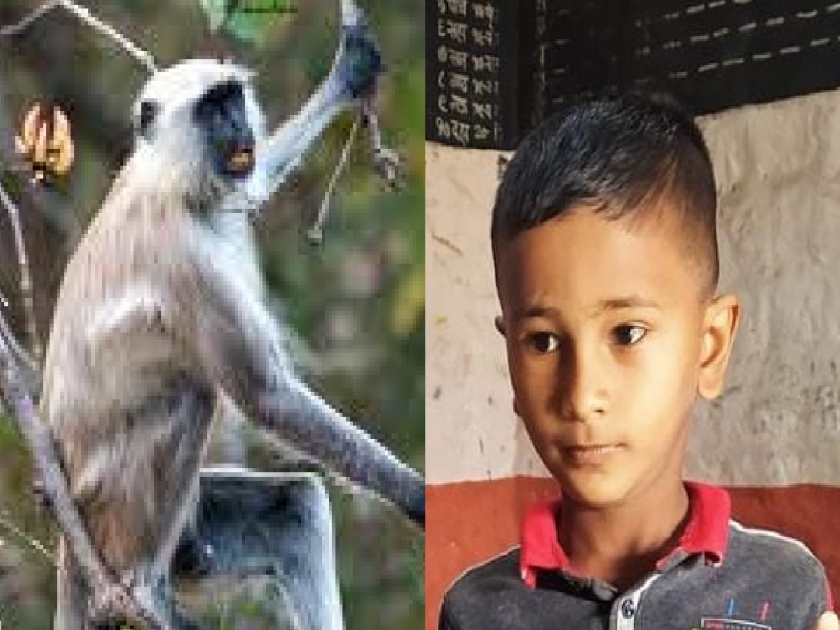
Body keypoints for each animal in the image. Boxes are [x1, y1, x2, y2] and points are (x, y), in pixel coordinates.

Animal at [37, 4, 423, 629]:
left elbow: (255, 180)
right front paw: (418, 495)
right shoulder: (182, 258)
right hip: (115, 508)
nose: (236, 127)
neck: (170, 184)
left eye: (233, 100)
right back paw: (143, 591)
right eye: (209, 110)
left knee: (296, 505)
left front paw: (349, 72)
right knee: (194, 394)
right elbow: (265, 396)